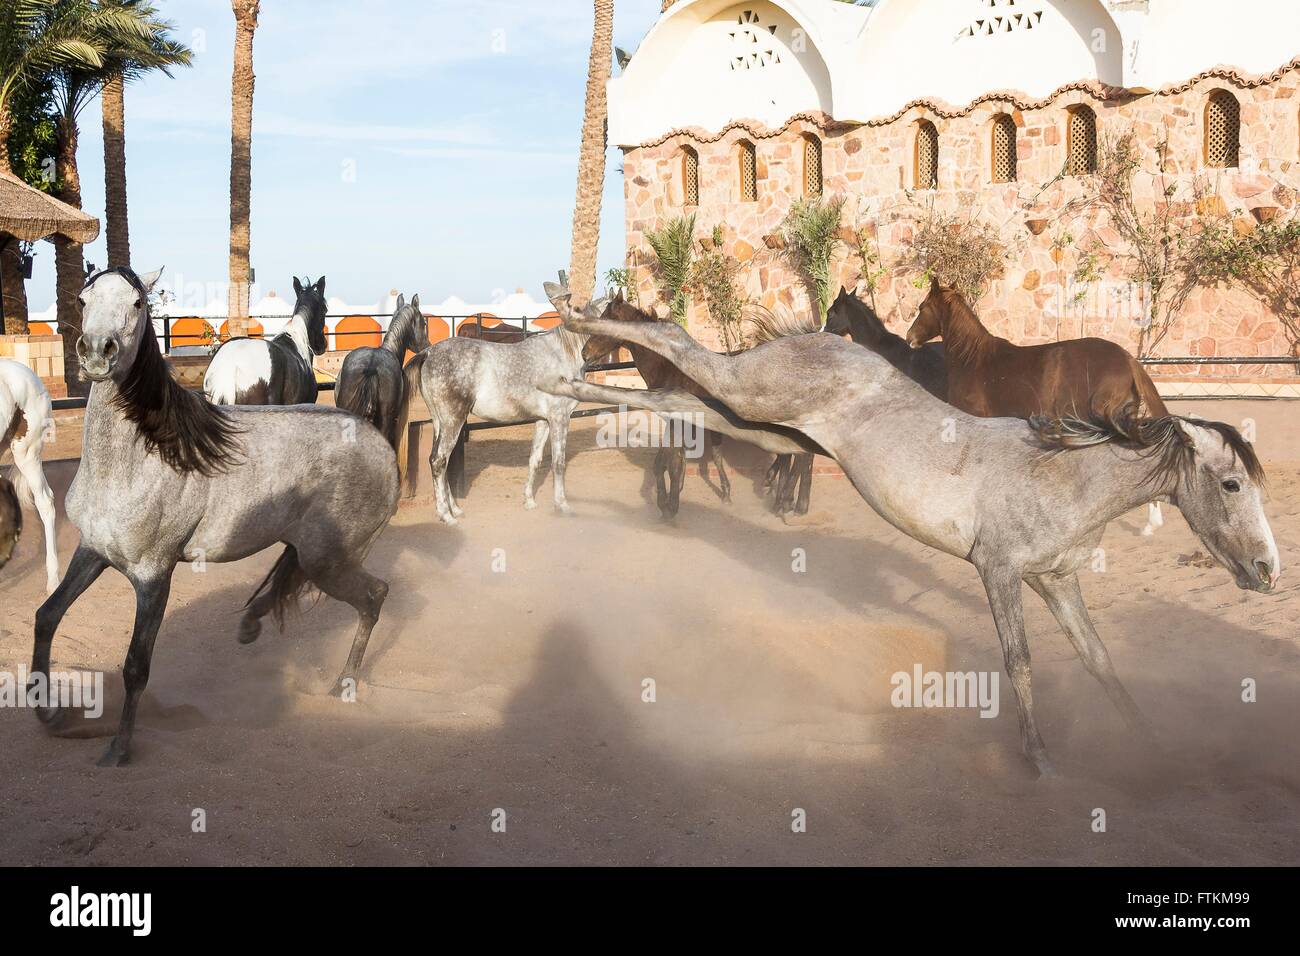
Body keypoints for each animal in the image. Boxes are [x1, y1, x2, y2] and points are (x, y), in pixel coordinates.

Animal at [405, 287, 617, 525]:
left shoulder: (544, 420)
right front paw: (562, 506)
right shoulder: (560, 418)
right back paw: (446, 515)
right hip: (453, 421)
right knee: (439, 461)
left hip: (439, 422)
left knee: (442, 462)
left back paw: (455, 510)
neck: (562, 353)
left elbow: (535, 459)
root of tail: (429, 352)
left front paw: (529, 501)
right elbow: (558, 463)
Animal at [600, 295, 732, 520]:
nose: (584, 353)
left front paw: (668, 505)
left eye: (604, 320)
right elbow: (672, 459)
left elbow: (669, 462)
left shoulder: (677, 422)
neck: (668, 367)